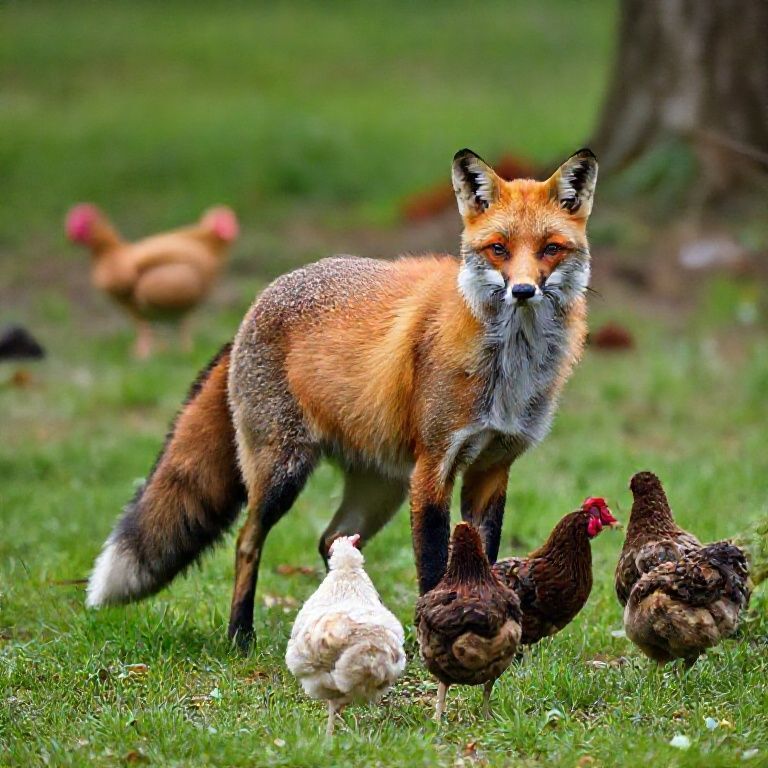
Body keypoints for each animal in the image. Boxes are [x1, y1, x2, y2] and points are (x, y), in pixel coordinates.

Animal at [86, 147, 599, 649]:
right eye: (499, 249)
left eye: (550, 249)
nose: (523, 290)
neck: (510, 370)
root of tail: (254, 306)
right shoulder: (433, 467)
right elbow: (435, 567)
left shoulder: (492, 468)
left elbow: (484, 561)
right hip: (283, 471)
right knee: (247, 540)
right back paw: (240, 635)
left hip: (381, 491)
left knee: (330, 540)